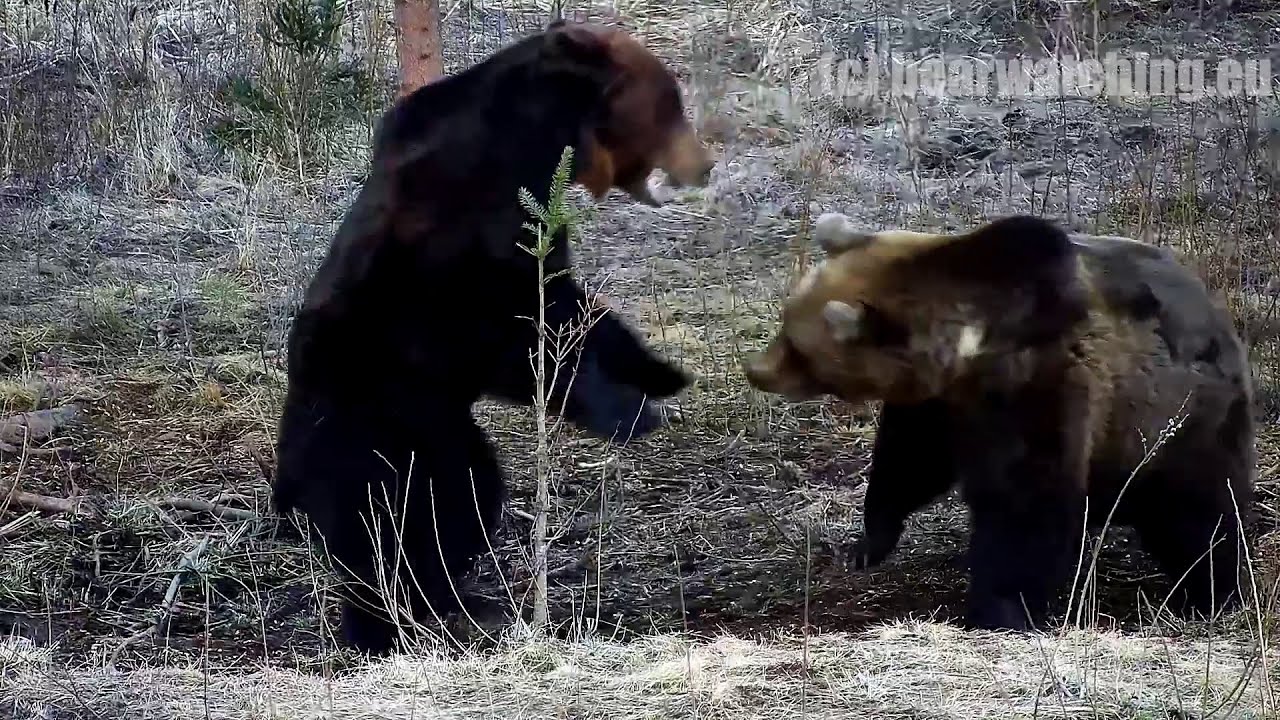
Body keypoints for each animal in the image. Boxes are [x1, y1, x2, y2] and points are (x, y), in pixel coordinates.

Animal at [271, 19, 716, 655]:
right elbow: (519, 338)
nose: (706, 165)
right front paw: (628, 411)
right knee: (388, 531)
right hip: (380, 435)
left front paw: (660, 371)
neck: (543, 133)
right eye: (671, 104)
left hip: (436, 433)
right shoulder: (464, 250)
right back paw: (386, 626)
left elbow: (574, 307)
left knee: (465, 503)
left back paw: (449, 599)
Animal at [743, 212, 1257, 632]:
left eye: (798, 347)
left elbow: (1024, 504)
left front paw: (1001, 609)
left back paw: (1211, 594)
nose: (755, 369)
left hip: (1181, 423)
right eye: (785, 321)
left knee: (1198, 517)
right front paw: (868, 543)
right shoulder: (940, 406)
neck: (973, 356)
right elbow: (908, 465)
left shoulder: (1043, 387)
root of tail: (1220, 318)